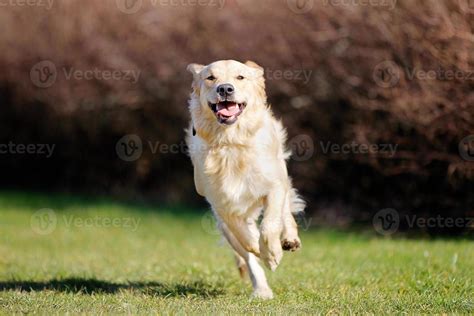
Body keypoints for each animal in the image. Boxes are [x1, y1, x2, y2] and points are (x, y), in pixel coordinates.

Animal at [185, 59, 304, 298]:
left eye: (240, 77)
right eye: (210, 77)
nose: (225, 89)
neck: (231, 142)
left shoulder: (274, 185)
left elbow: (269, 225)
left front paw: (273, 252)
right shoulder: (222, 204)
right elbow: (247, 241)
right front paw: (262, 251)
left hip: (280, 171)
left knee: (285, 210)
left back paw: (289, 239)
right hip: (224, 223)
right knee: (247, 256)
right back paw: (262, 290)